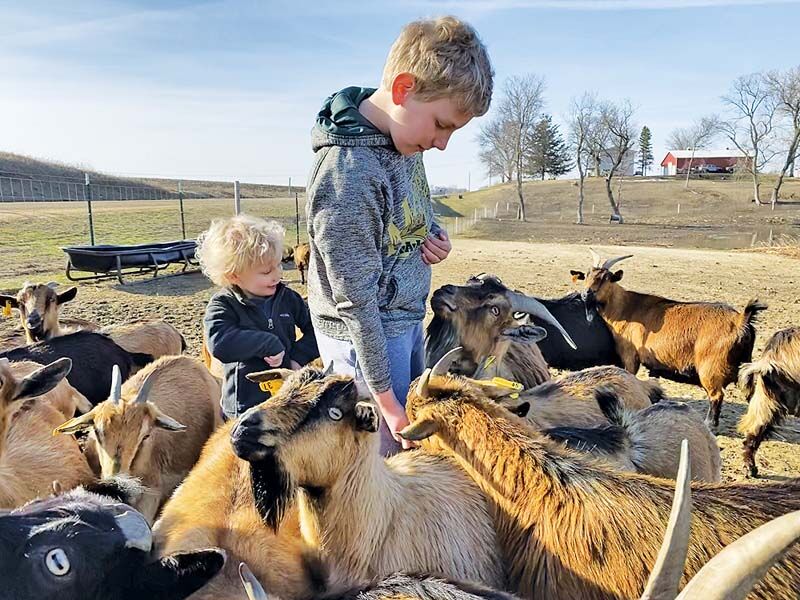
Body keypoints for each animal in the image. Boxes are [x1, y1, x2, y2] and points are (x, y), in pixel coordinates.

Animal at [570, 250, 765, 428]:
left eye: (606, 278)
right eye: (587, 275)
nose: (586, 294)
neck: (625, 308)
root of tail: (740, 320)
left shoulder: (630, 356)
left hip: (710, 369)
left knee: (716, 396)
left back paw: (710, 424)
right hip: (745, 370)